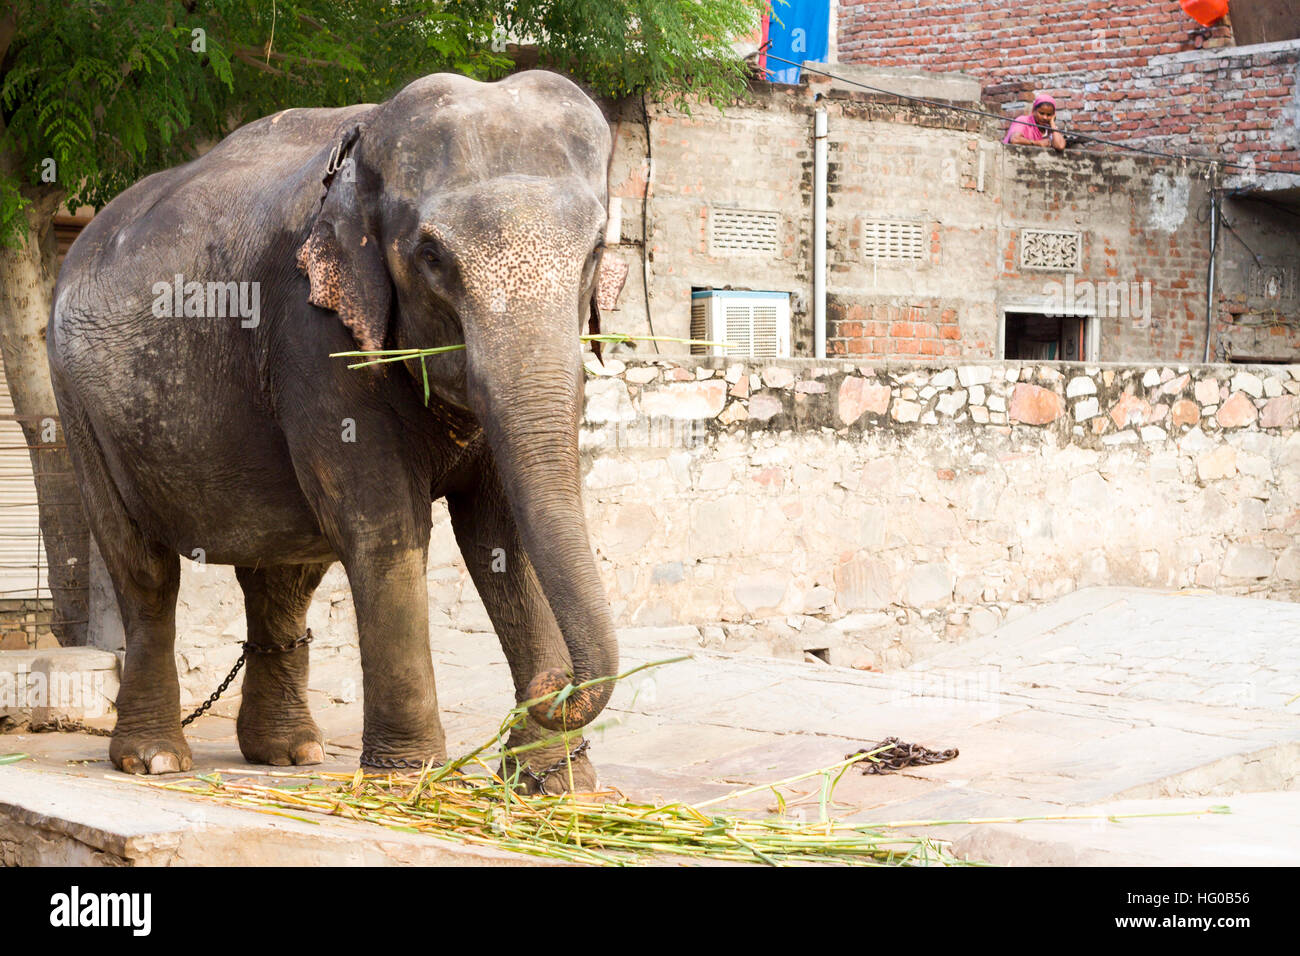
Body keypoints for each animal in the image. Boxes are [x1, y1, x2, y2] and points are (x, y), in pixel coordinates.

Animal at [47, 70, 619, 791]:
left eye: (595, 252)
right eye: (431, 256)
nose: (555, 684)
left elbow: (501, 535)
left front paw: (552, 785)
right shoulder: (315, 331)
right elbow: (384, 524)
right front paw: (408, 781)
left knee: (285, 574)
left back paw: (290, 753)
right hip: (78, 405)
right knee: (143, 569)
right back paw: (155, 760)